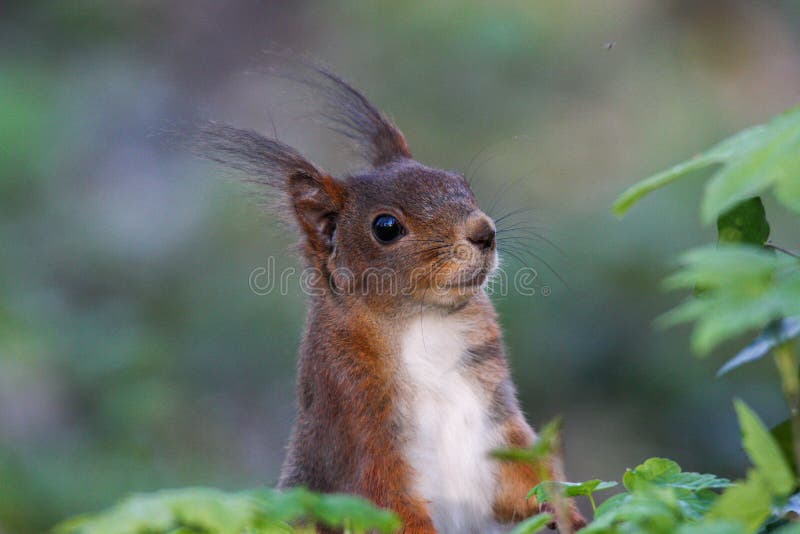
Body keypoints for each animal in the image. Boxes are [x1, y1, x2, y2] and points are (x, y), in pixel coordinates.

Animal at [196, 64, 586, 534]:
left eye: (460, 182)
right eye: (386, 227)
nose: (483, 232)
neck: (424, 325)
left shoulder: (496, 418)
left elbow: (528, 474)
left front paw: (570, 516)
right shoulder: (361, 425)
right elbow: (390, 504)